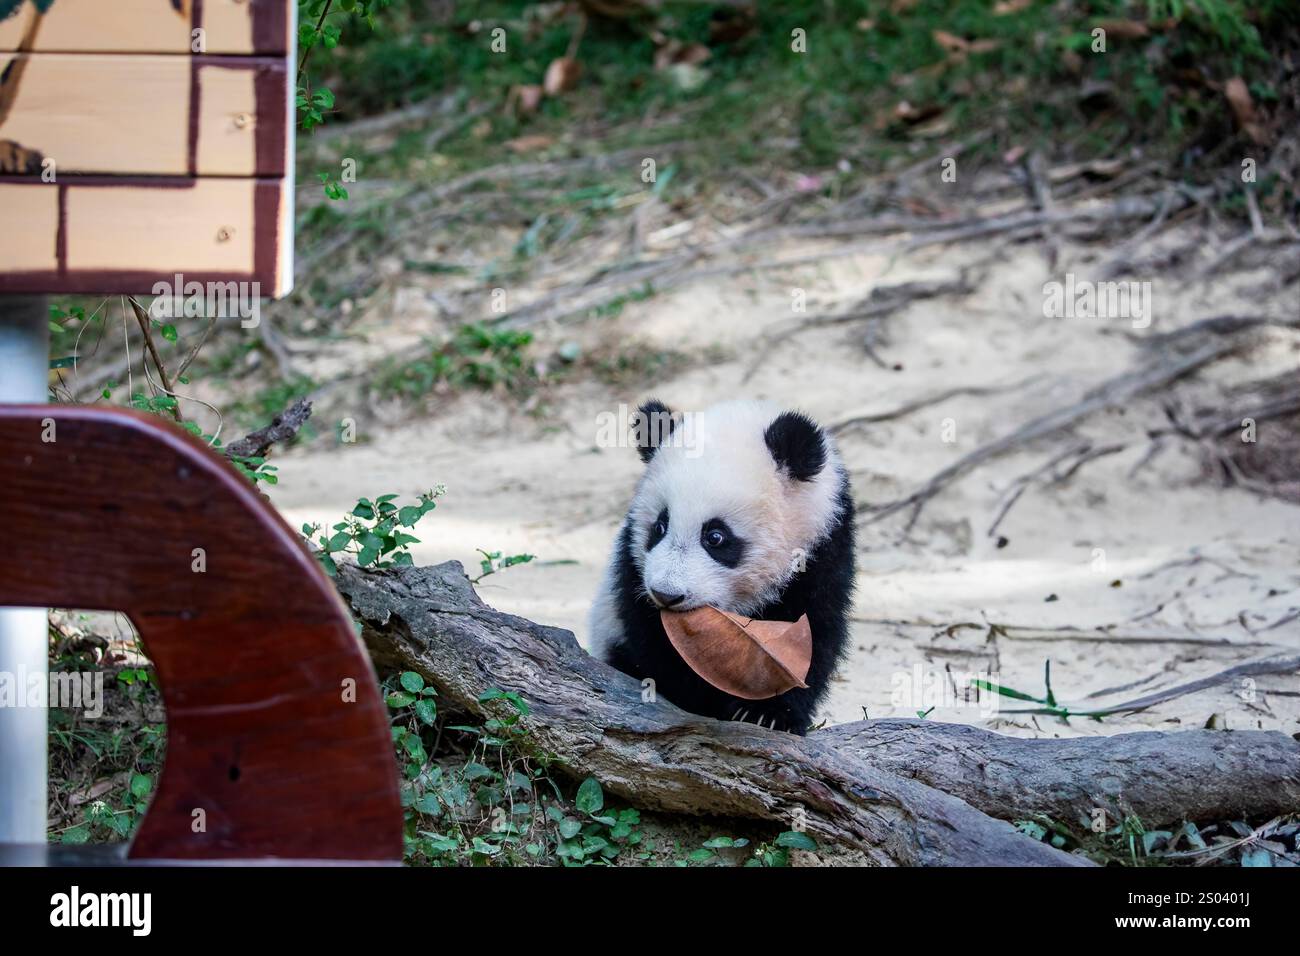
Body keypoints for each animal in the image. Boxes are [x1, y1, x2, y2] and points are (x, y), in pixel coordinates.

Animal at [588, 399, 855, 735]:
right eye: (659, 527)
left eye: (715, 537)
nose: (667, 594)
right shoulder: (630, 571)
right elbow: (653, 643)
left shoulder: (823, 551)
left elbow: (812, 636)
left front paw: (768, 715)